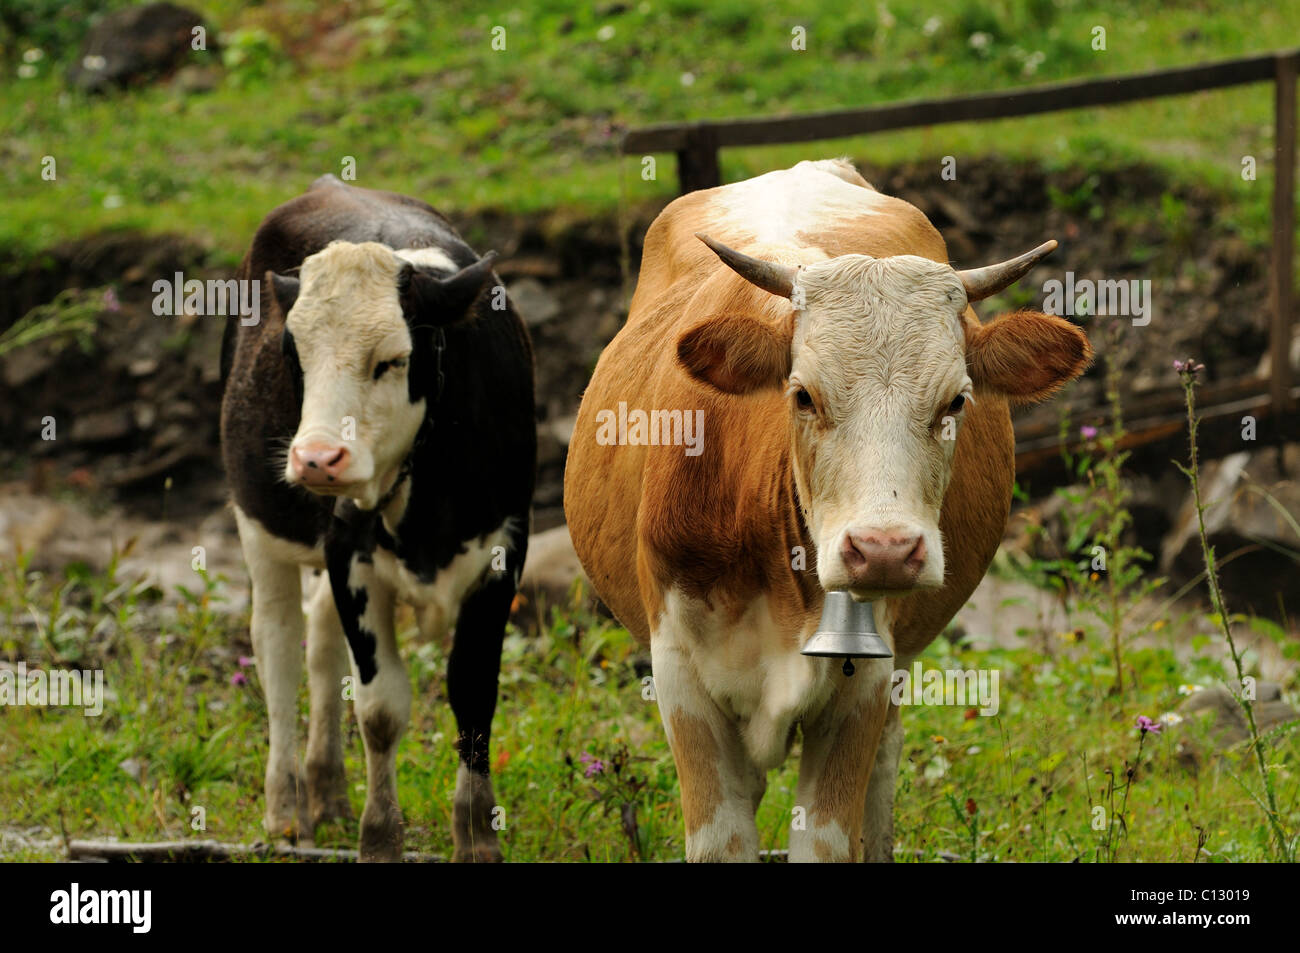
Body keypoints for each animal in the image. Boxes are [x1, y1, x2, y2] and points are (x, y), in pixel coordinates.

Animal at [220, 175, 536, 862]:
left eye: (390, 360)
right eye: (295, 358)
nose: (316, 459)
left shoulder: (506, 547)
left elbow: (472, 692)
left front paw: (476, 835)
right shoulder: (348, 550)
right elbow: (382, 707)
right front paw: (381, 836)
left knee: (318, 642)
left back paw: (327, 791)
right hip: (260, 529)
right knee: (278, 644)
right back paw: (287, 807)